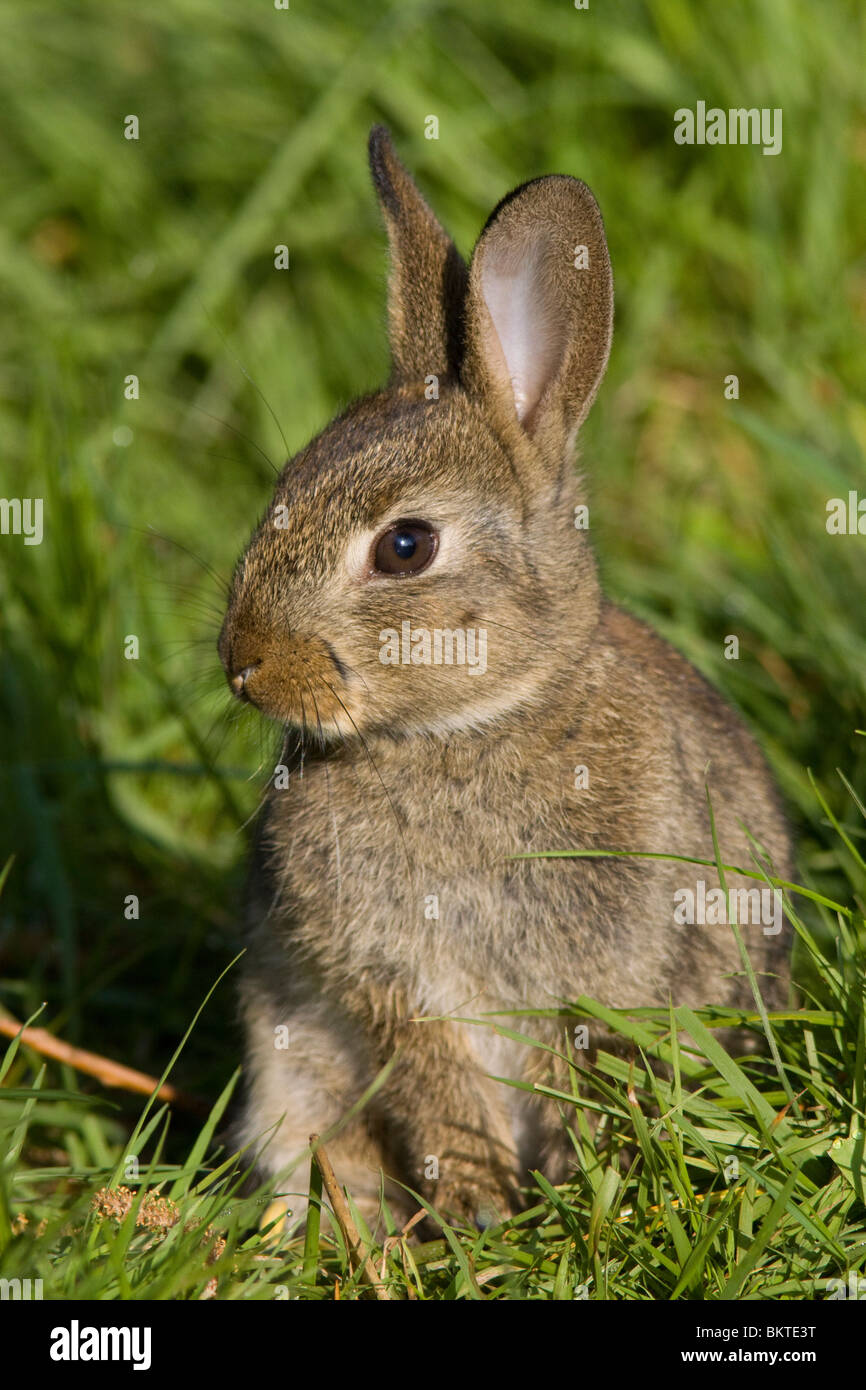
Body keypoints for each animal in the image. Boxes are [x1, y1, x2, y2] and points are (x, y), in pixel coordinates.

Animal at [217, 126, 792, 1232]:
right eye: (281, 488)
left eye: (404, 546)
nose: (244, 662)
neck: (468, 727)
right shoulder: (389, 986)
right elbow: (434, 1079)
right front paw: (482, 1204)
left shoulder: (598, 981)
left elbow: (573, 1073)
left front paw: (550, 1199)